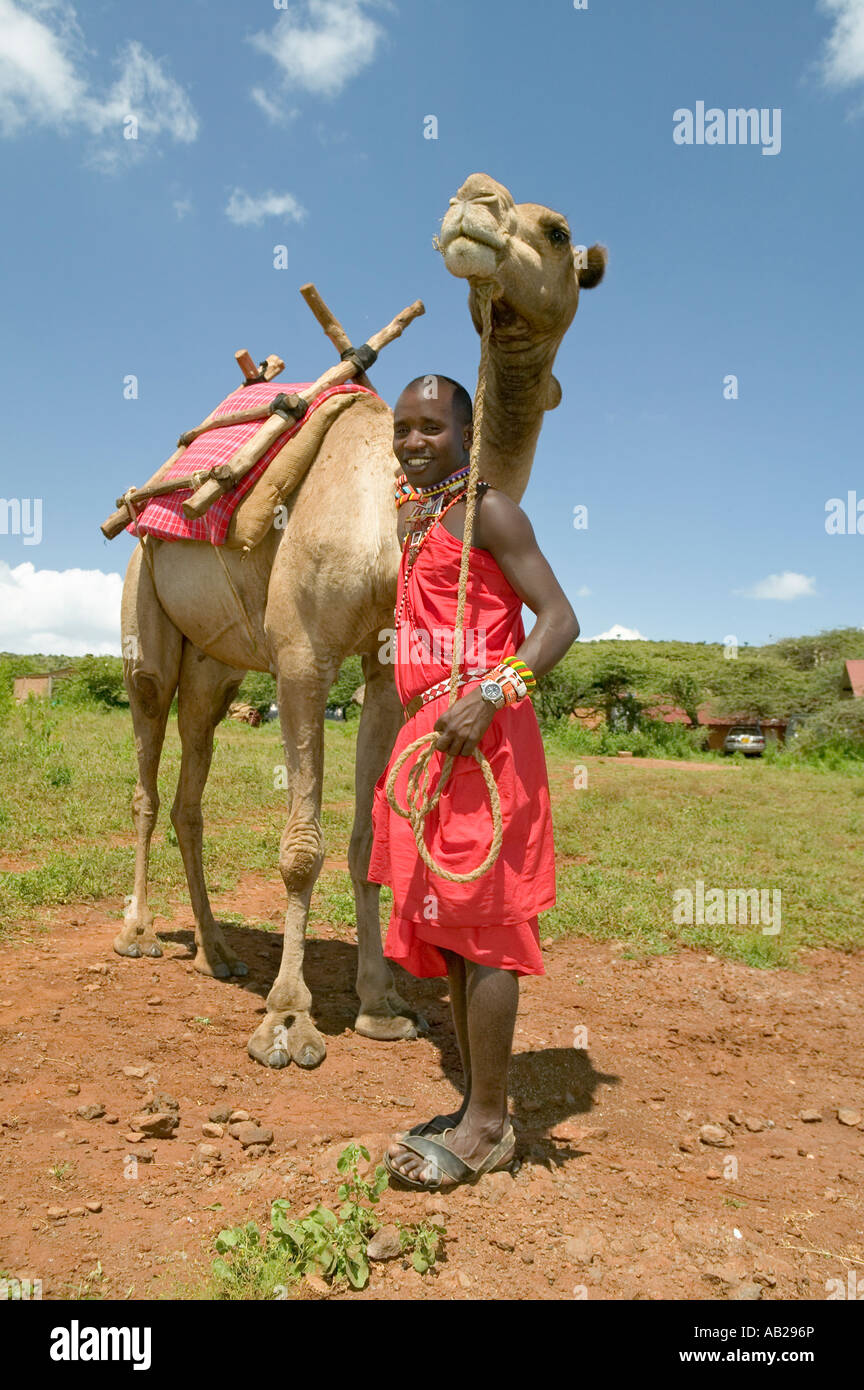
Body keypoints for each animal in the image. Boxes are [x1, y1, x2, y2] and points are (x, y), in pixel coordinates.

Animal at [114, 172, 606, 1069]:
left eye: (556, 231)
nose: (474, 197)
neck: (393, 504)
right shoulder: (304, 655)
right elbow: (300, 846)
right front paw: (287, 1021)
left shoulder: (381, 669)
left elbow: (363, 836)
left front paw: (380, 1002)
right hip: (147, 617)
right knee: (146, 770)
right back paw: (139, 934)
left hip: (218, 667)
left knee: (191, 790)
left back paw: (218, 950)